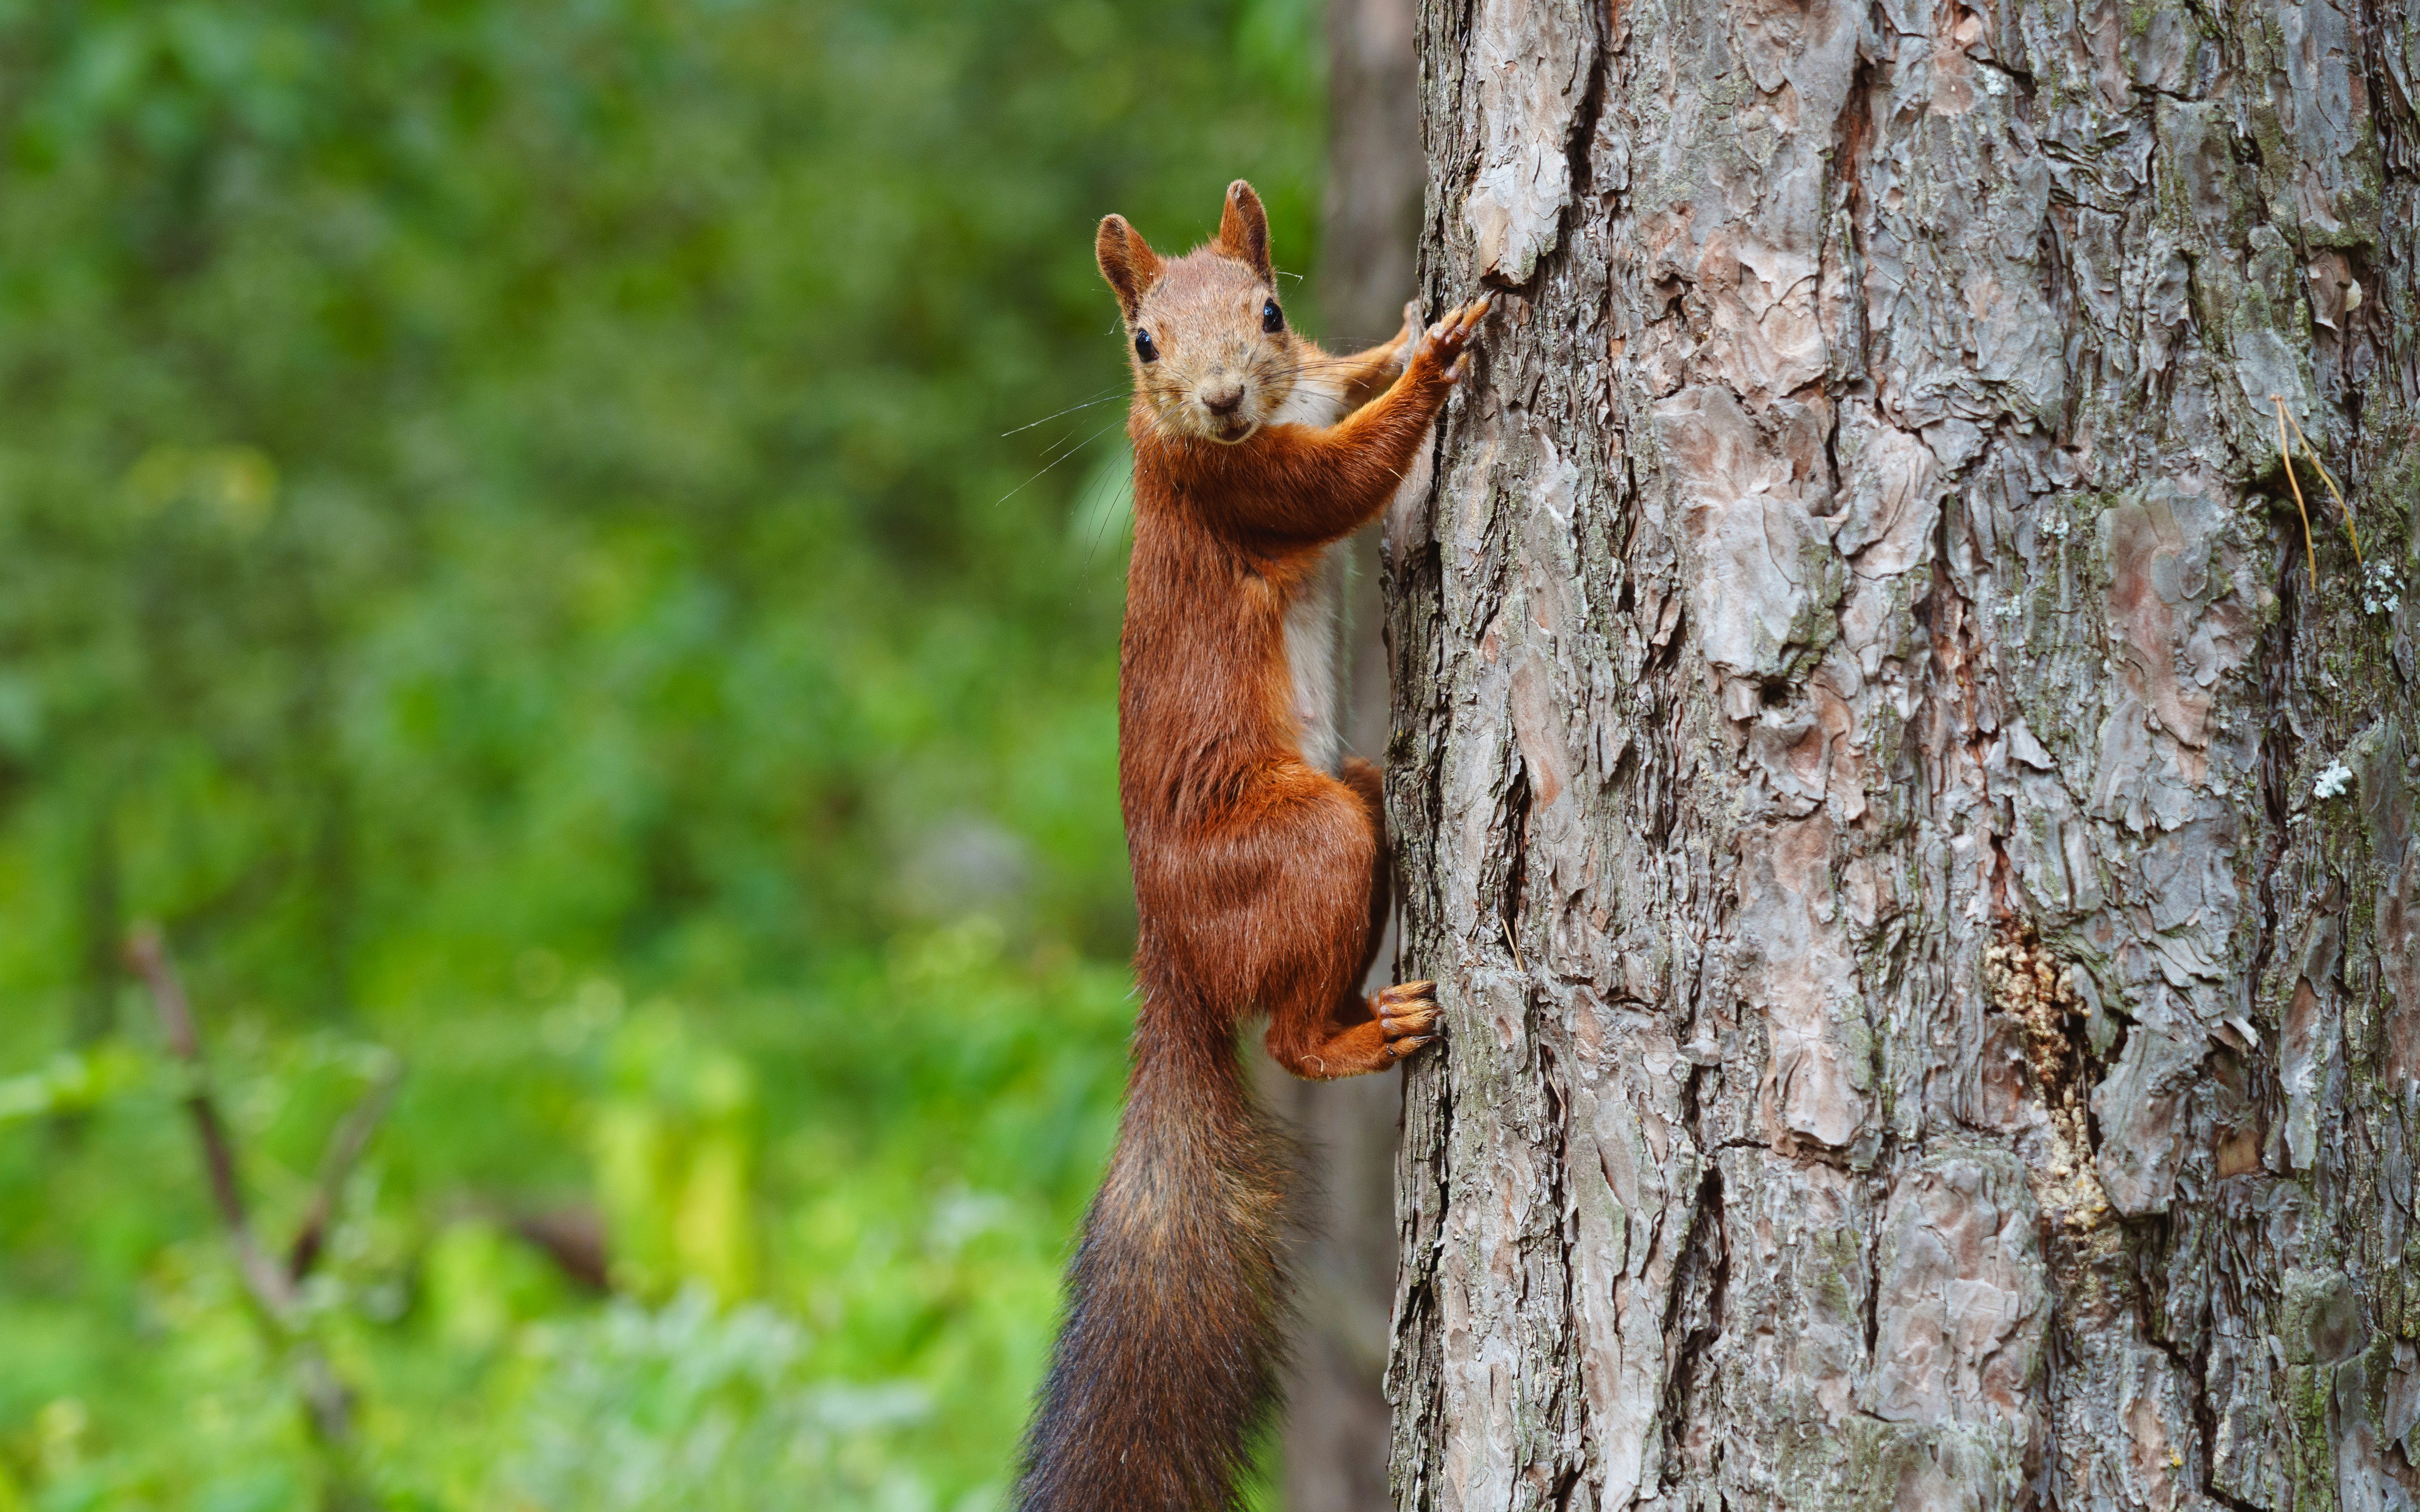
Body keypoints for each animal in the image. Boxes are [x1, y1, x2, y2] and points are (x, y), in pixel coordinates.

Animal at [1015, 180, 1488, 1512]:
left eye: (1268, 310)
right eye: (1141, 345)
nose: (1222, 399)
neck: (1247, 428)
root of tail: (1168, 957)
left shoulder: (1294, 394)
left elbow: (1340, 380)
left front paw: (1396, 333)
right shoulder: (1236, 486)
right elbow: (1343, 483)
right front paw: (1432, 364)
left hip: (1360, 803)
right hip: (1302, 845)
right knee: (1284, 1040)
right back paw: (1363, 1032)